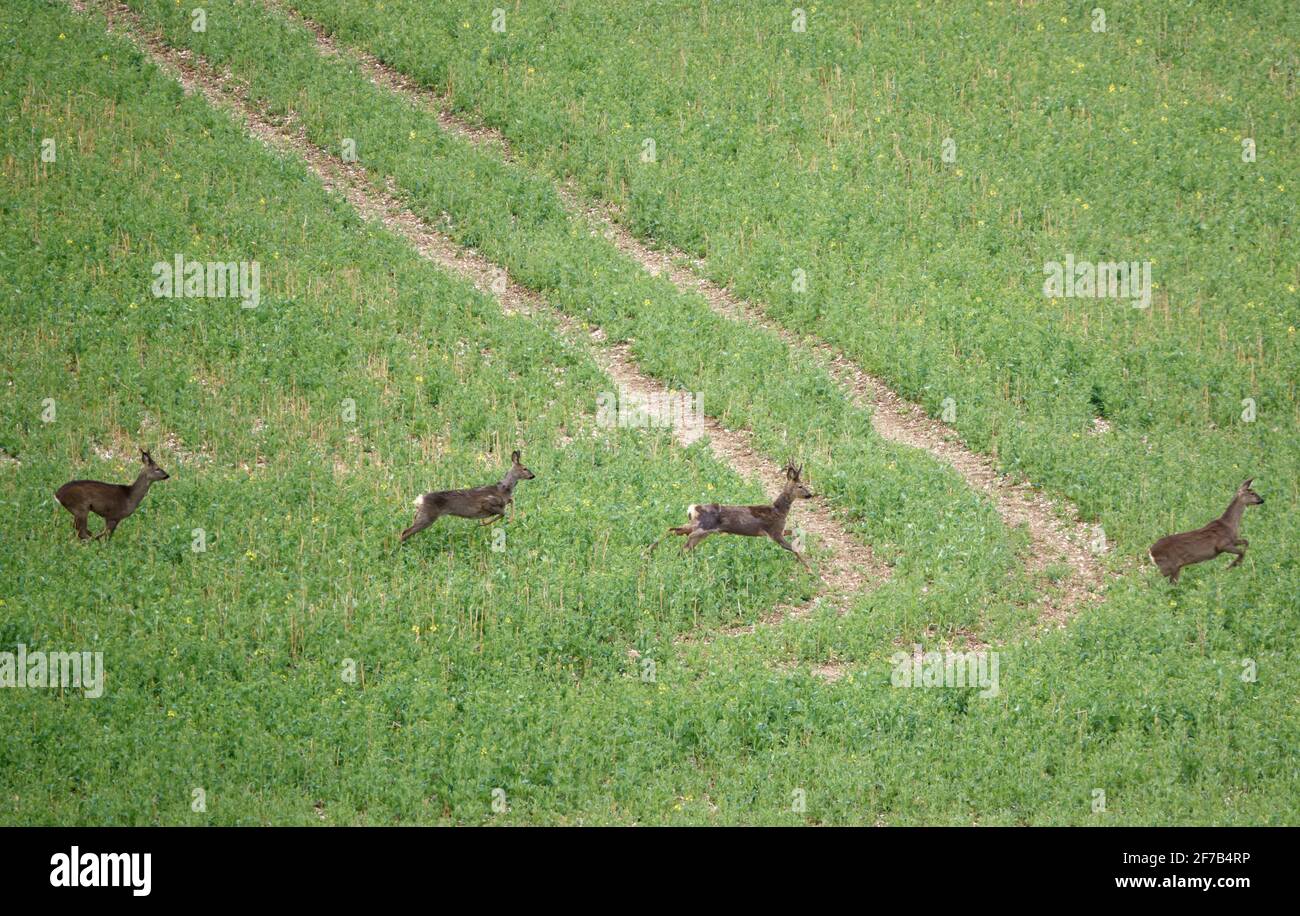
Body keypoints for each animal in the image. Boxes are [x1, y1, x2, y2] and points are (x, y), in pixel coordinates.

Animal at [400, 450, 536, 543]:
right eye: (525, 468)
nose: (533, 475)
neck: (503, 489)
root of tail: (420, 499)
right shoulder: (487, 503)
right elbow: (503, 512)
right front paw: (482, 523)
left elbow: (510, 502)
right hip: (428, 515)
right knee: (405, 532)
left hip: (421, 514)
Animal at [649, 462, 814, 567]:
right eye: (800, 486)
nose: (810, 495)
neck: (779, 510)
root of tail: (692, 508)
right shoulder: (774, 532)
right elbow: (794, 548)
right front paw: (809, 569)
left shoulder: (778, 531)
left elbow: (797, 532)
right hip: (703, 527)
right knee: (682, 538)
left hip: (699, 528)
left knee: (675, 532)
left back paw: (651, 551)